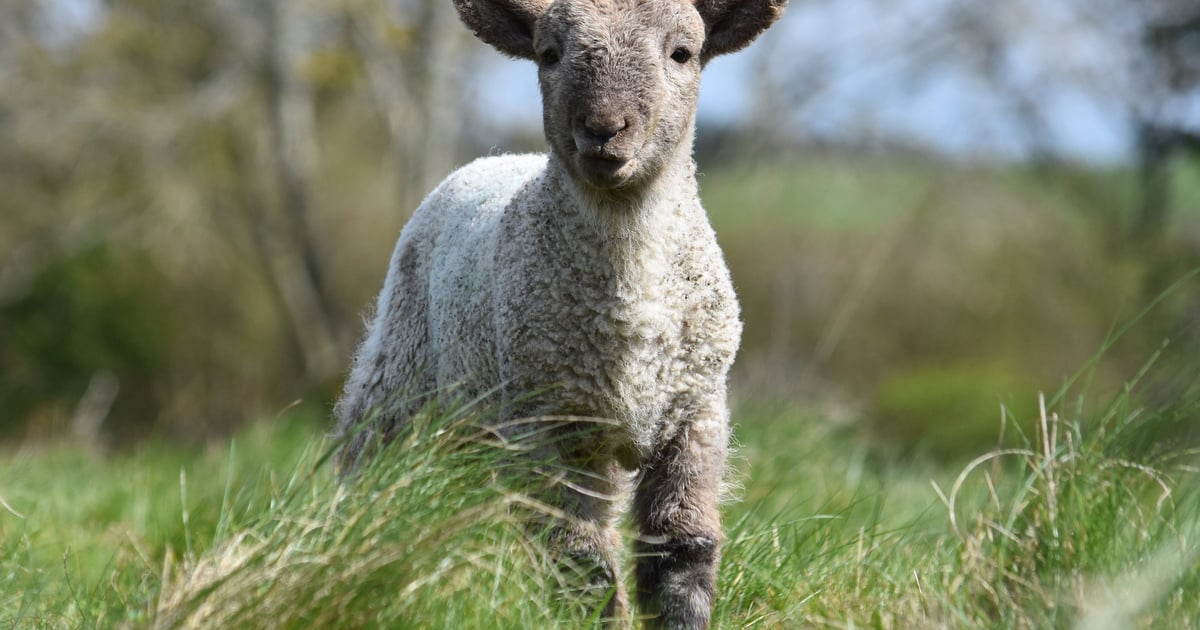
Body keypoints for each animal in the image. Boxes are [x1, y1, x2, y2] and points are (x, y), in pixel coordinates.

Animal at [334, 0, 786, 626]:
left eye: (683, 53)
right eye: (548, 54)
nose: (603, 129)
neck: (632, 312)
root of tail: (496, 159)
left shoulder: (695, 418)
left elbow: (681, 550)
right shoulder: (551, 424)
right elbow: (579, 561)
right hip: (402, 367)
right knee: (367, 459)